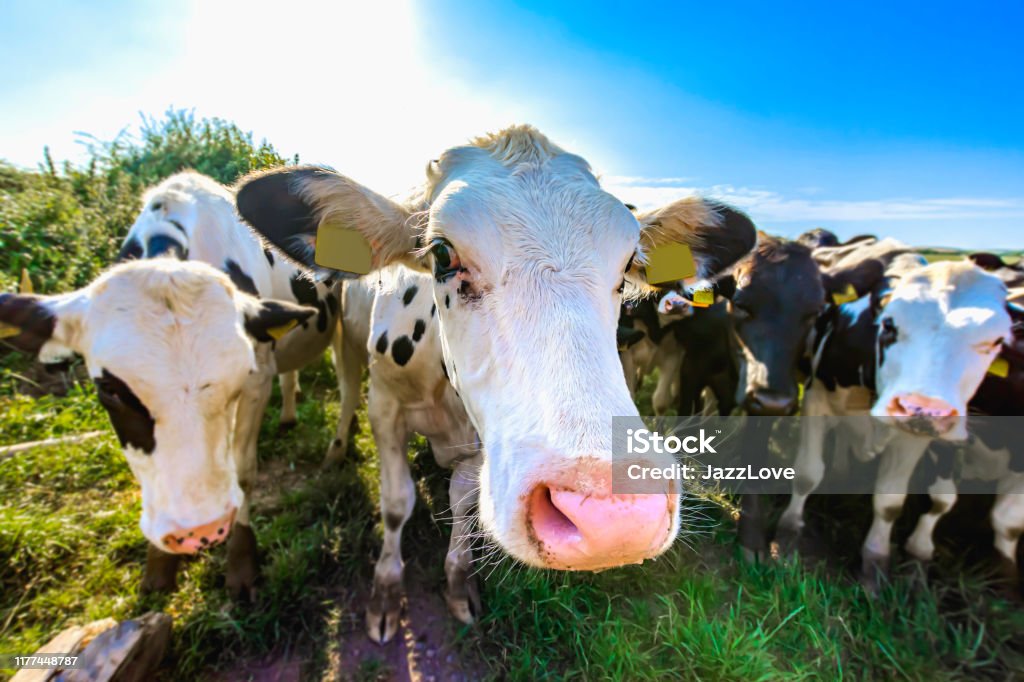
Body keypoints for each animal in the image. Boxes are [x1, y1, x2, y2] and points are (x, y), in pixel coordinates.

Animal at [0, 259, 316, 598]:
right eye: (109, 390)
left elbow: (243, 473)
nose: (202, 531)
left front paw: (242, 566)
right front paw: (159, 566)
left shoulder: (259, 378)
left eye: (243, 375)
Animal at [234, 125, 757, 577]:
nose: (614, 518)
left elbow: (462, 499)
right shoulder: (384, 407)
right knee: (344, 392)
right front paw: (387, 584)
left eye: (629, 263)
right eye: (441, 253)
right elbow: (397, 501)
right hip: (344, 338)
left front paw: (458, 579)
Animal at [775, 259, 1014, 589]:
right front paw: (789, 533)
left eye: (997, 341)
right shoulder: (816, 398)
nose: (923, 408)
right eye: (888, 324)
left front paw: (875, 566)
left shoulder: (914, 436)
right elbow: (807, 473)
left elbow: (891, 500)